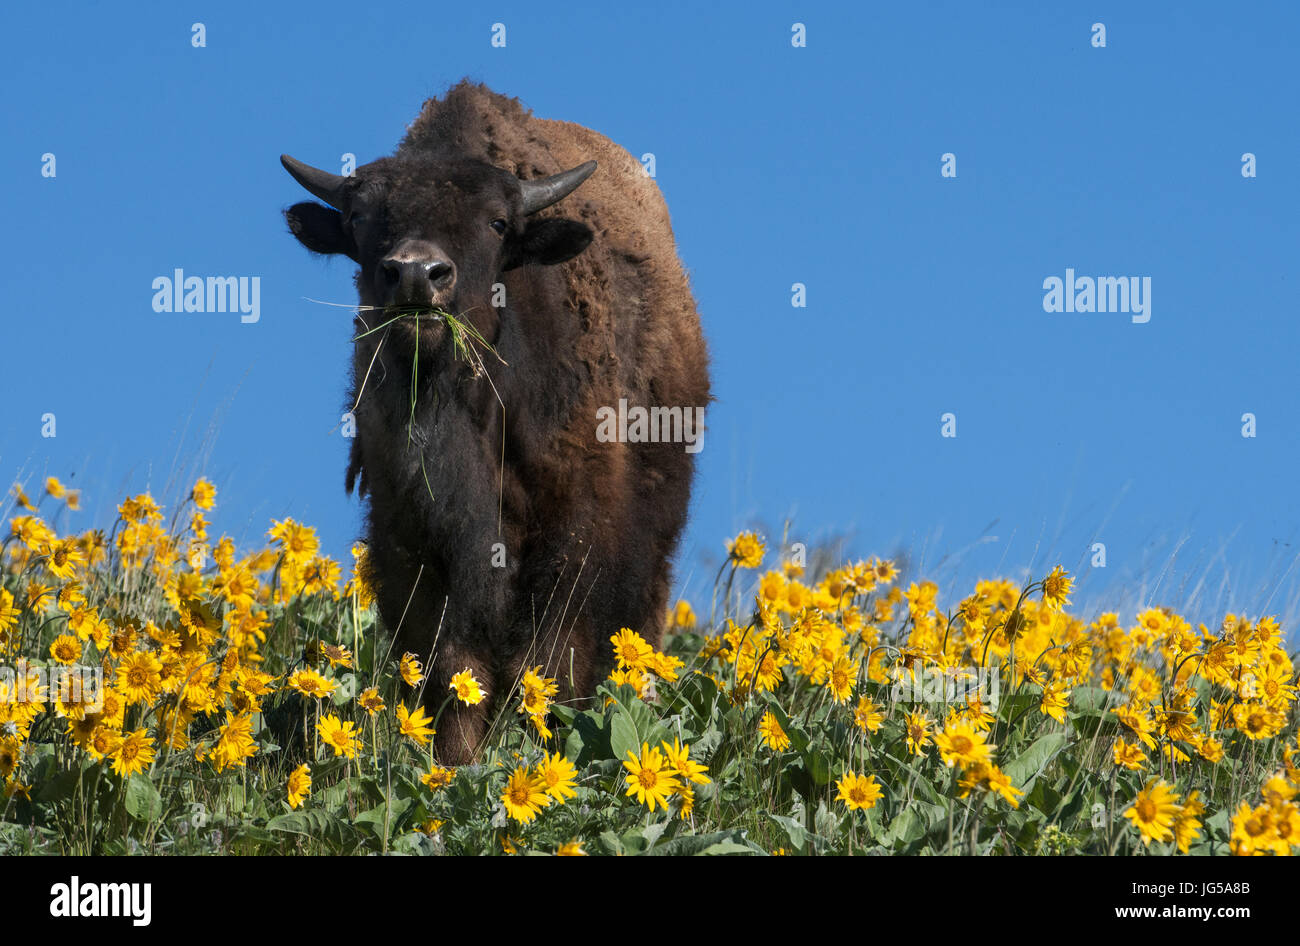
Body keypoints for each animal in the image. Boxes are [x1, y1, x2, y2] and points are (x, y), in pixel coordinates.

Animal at [280, 80, 710, 763]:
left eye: (496, 223)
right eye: (360, 219)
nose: (416, 273)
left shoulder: (573, 538)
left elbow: (550, 665)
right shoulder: (421, 548)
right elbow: (454, 674)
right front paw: (456, 765)